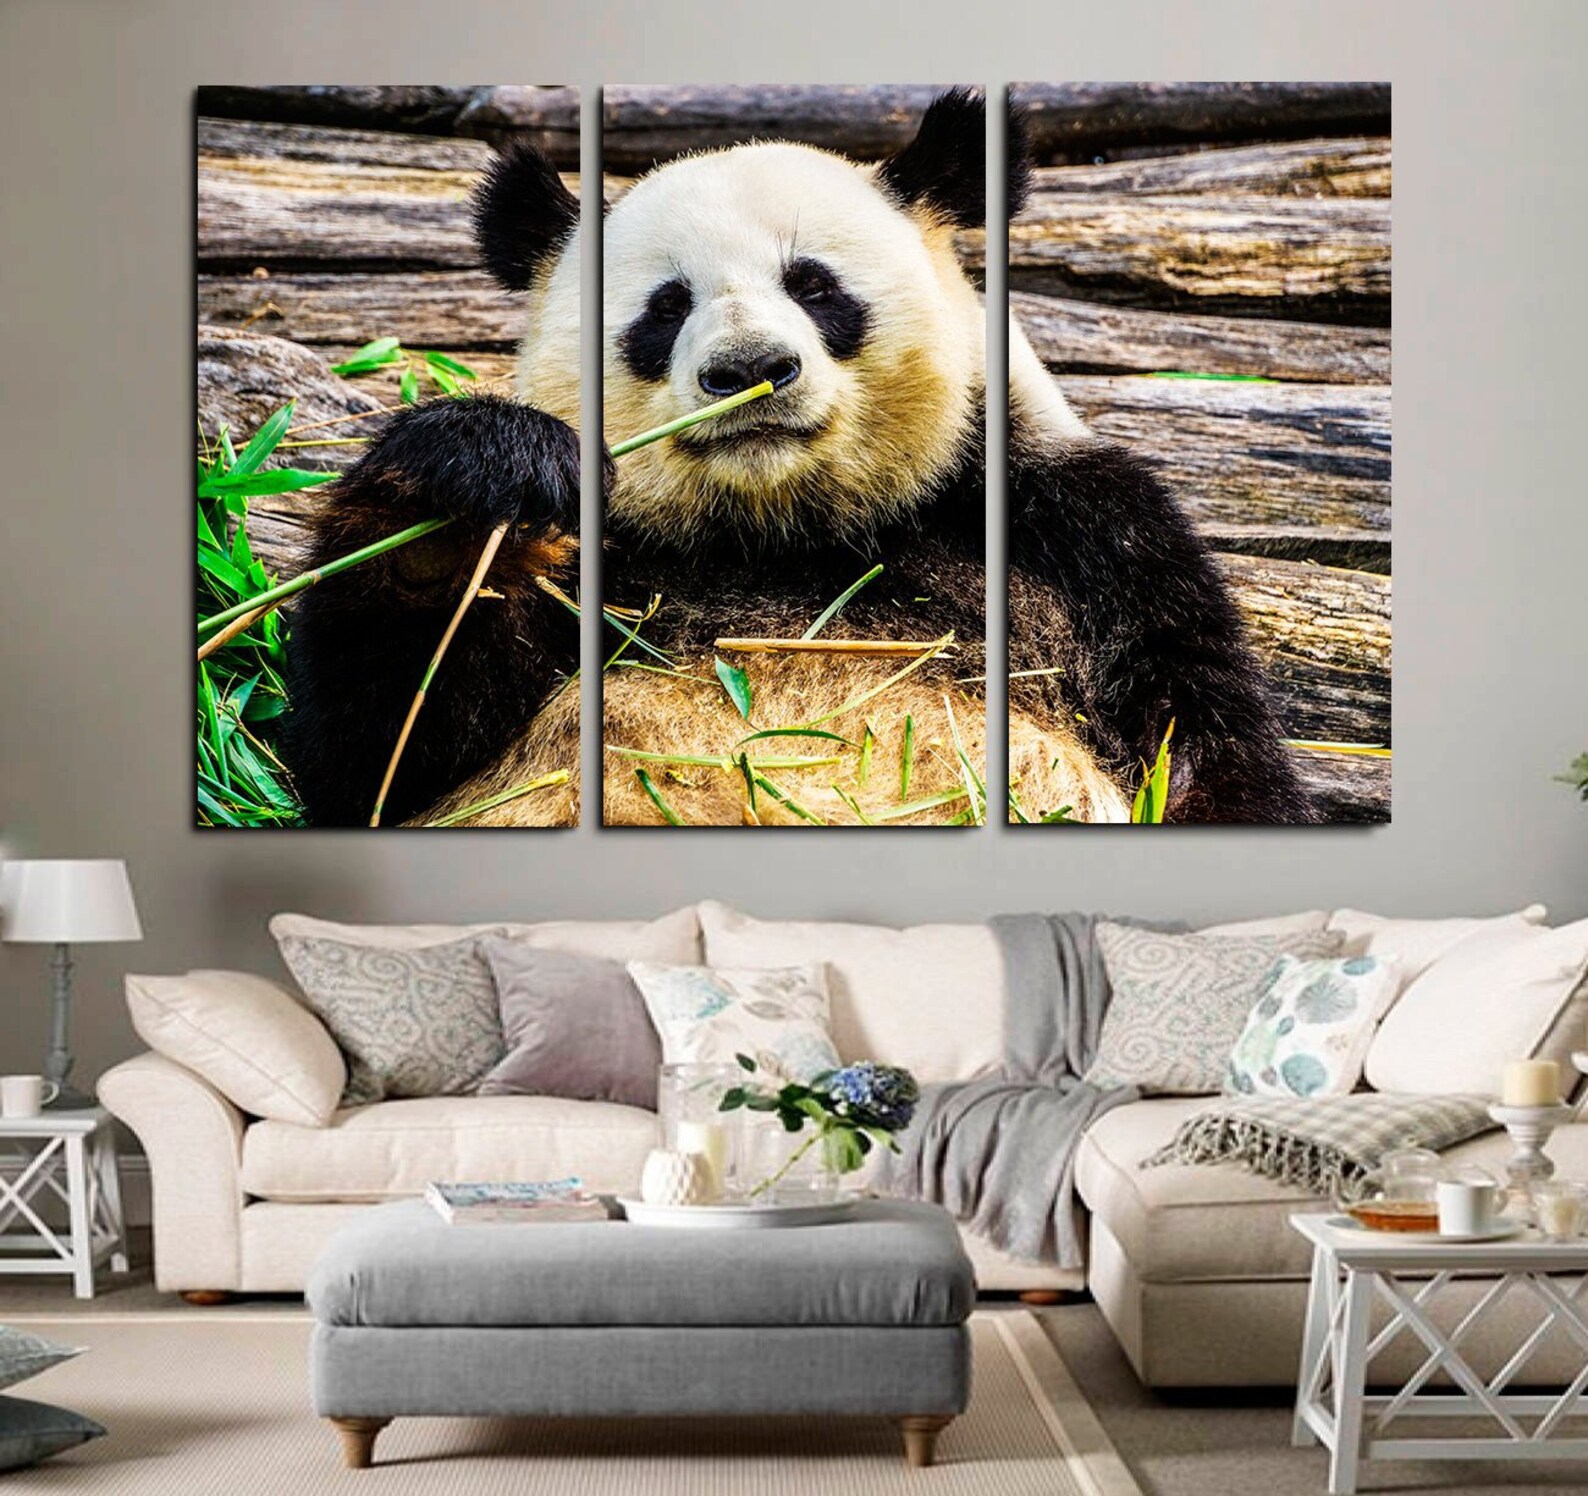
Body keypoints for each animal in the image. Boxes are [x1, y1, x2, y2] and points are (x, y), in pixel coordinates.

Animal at [281, 88, 1315, 827]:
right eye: (665, 307)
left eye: (815, 286)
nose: (750, 370)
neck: (784, 534)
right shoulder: (602, 567)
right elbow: (377, 756)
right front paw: (472, 489)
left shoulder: (1086, 539)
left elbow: (1206, 754)